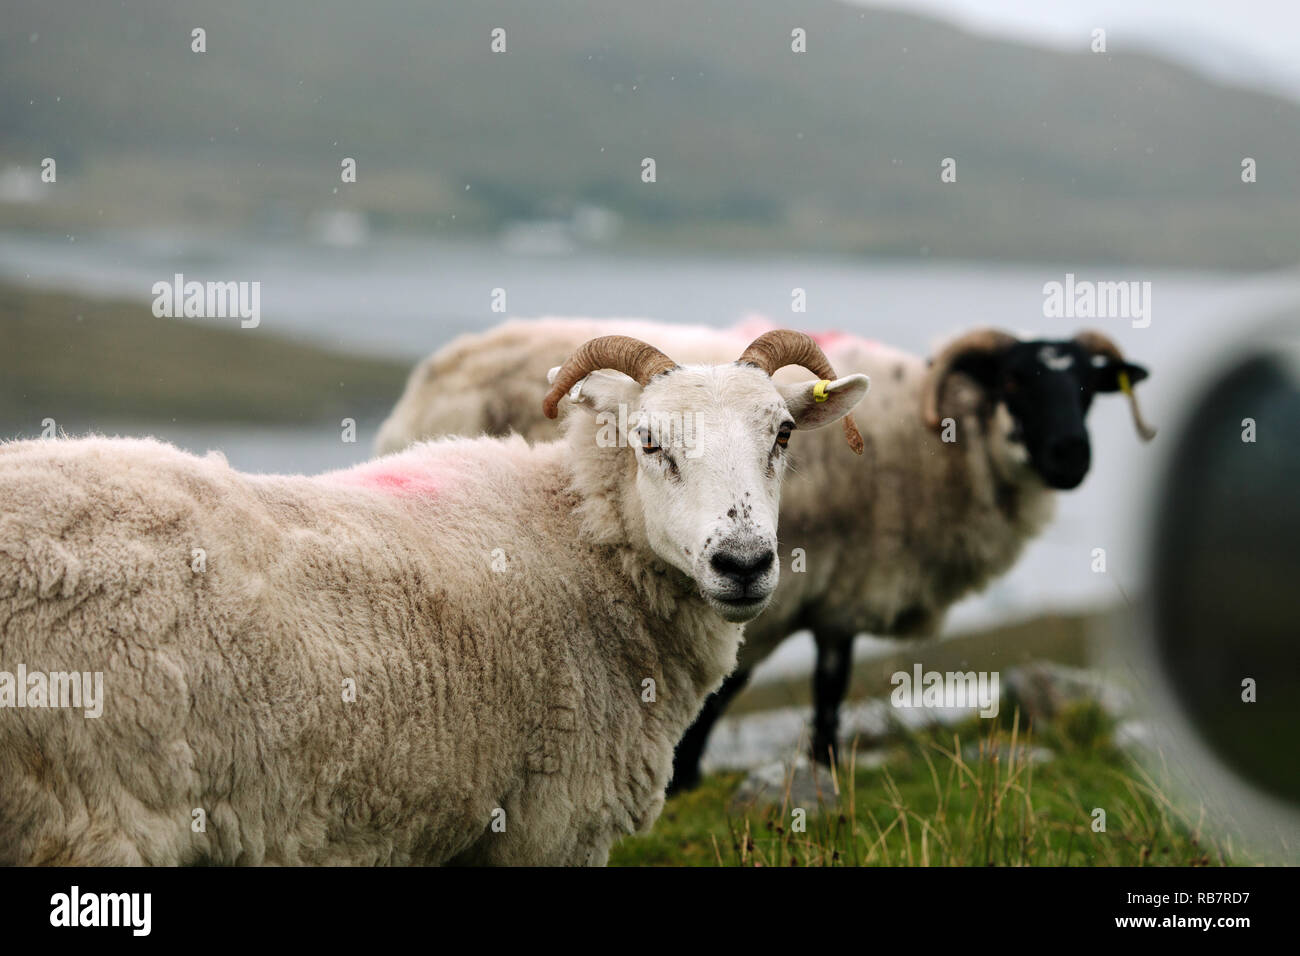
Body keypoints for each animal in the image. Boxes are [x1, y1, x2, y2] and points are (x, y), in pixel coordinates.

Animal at [0, 331, 867, 866]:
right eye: (649, 443)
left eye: (783, 434)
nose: (743, 562)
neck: (579, 539)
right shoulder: (549, 827)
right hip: (91, 818)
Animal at [376, 318, 1156, 790]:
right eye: (1016, 382)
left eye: (1088, 388)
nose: (1070, 456)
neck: (936, 447)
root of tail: (432, 372)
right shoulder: (817, 598)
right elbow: (786, 693)